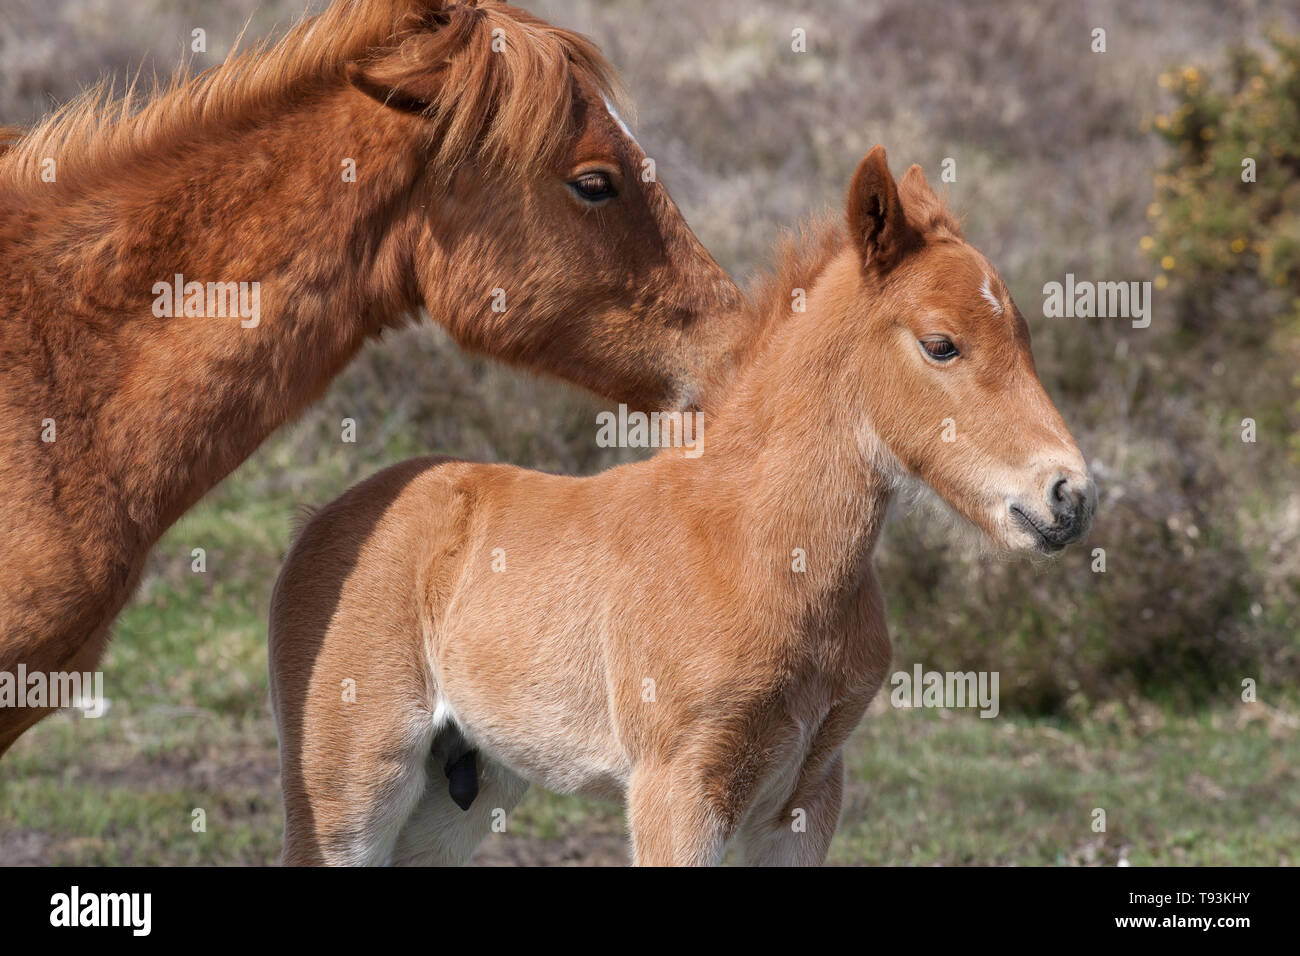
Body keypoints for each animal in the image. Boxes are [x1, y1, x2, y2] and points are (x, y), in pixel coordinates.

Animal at [267, 145, 1096, 866]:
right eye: (941, 344)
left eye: (1024, 334)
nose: (1070, 497)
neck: (756, 545)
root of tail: (322, 519)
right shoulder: (679, 789)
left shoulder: (808, 798)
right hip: (350, 786)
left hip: (458, 793)